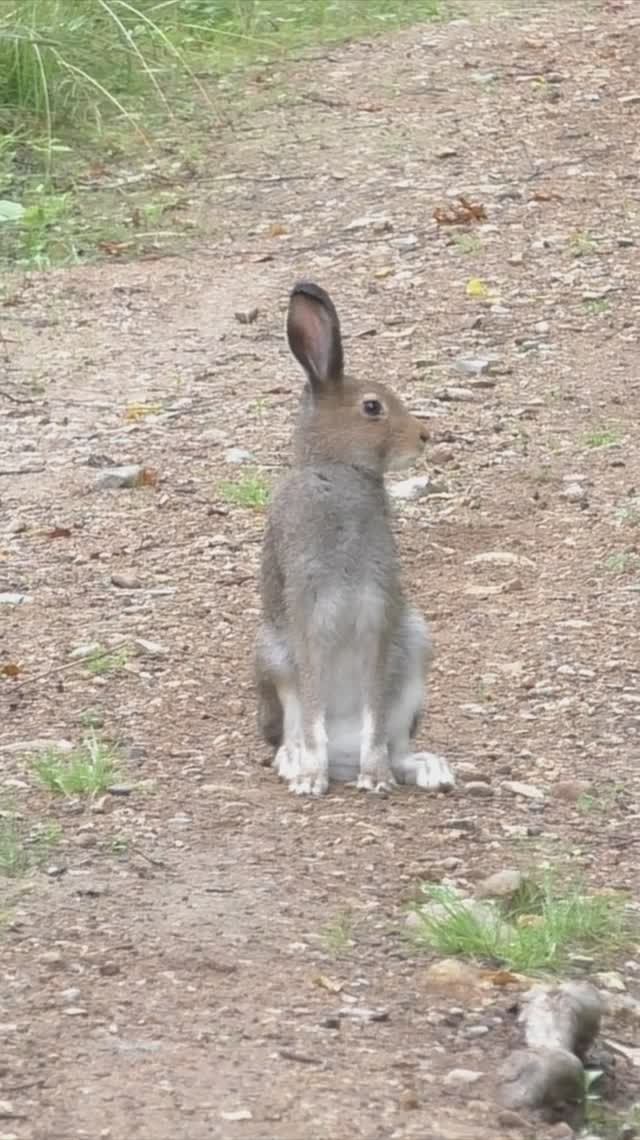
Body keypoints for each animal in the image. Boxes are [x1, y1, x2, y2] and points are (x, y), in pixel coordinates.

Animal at [255, 281, 454, 797]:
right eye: (372, 407)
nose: (424, 436)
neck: (338, 471)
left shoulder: (378, 609)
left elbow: (374, 713)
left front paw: (376, 778)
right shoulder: (306, 611)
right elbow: (313, 713)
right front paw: (311, 778)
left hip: (415, 646)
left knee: (396, 743)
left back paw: (426, 771)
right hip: (272, 657)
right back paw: (297, 763)